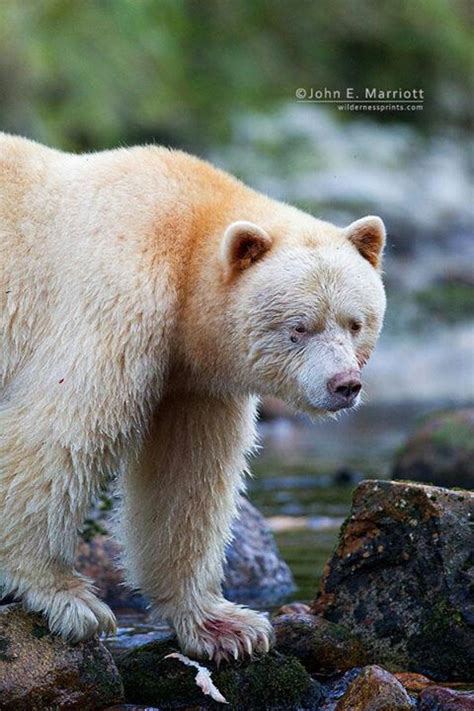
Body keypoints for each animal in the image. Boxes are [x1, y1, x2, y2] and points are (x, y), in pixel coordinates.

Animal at [0, 134, 386, 660]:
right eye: (298, 328)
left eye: (355, 322)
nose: (344, 384)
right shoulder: (115, 295)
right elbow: (58, 432)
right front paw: (68, 598)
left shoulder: (193, 380)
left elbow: (185, 476)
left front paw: (226, 627)